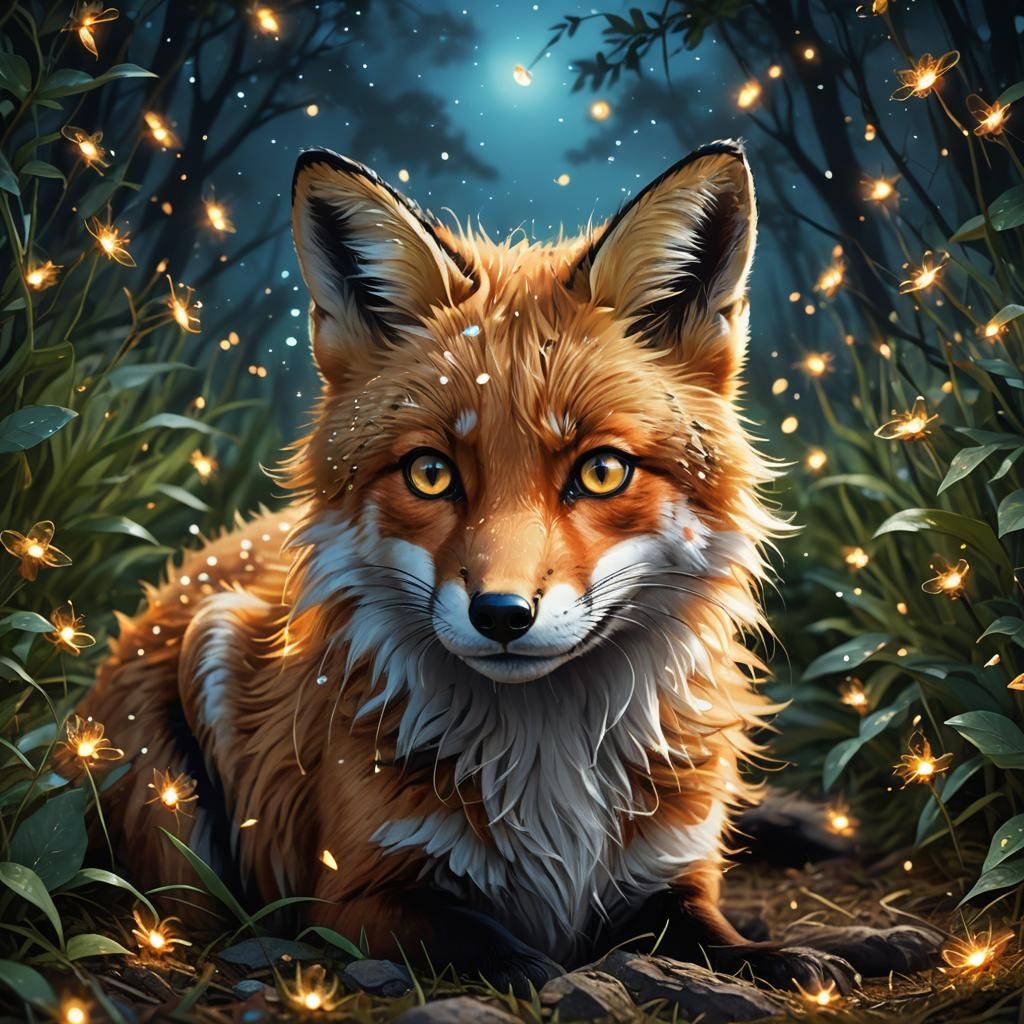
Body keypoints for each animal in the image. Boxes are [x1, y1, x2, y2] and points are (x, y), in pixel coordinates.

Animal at [66, 140, 940, 994]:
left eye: (601, 471)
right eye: (430, 473)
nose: (502, 615)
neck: (548, 765)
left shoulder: (667, 876)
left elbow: (717, 936)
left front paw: (803, 950)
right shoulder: (355, 896)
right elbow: (514, 953)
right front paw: (564, 970)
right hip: (200, 685)